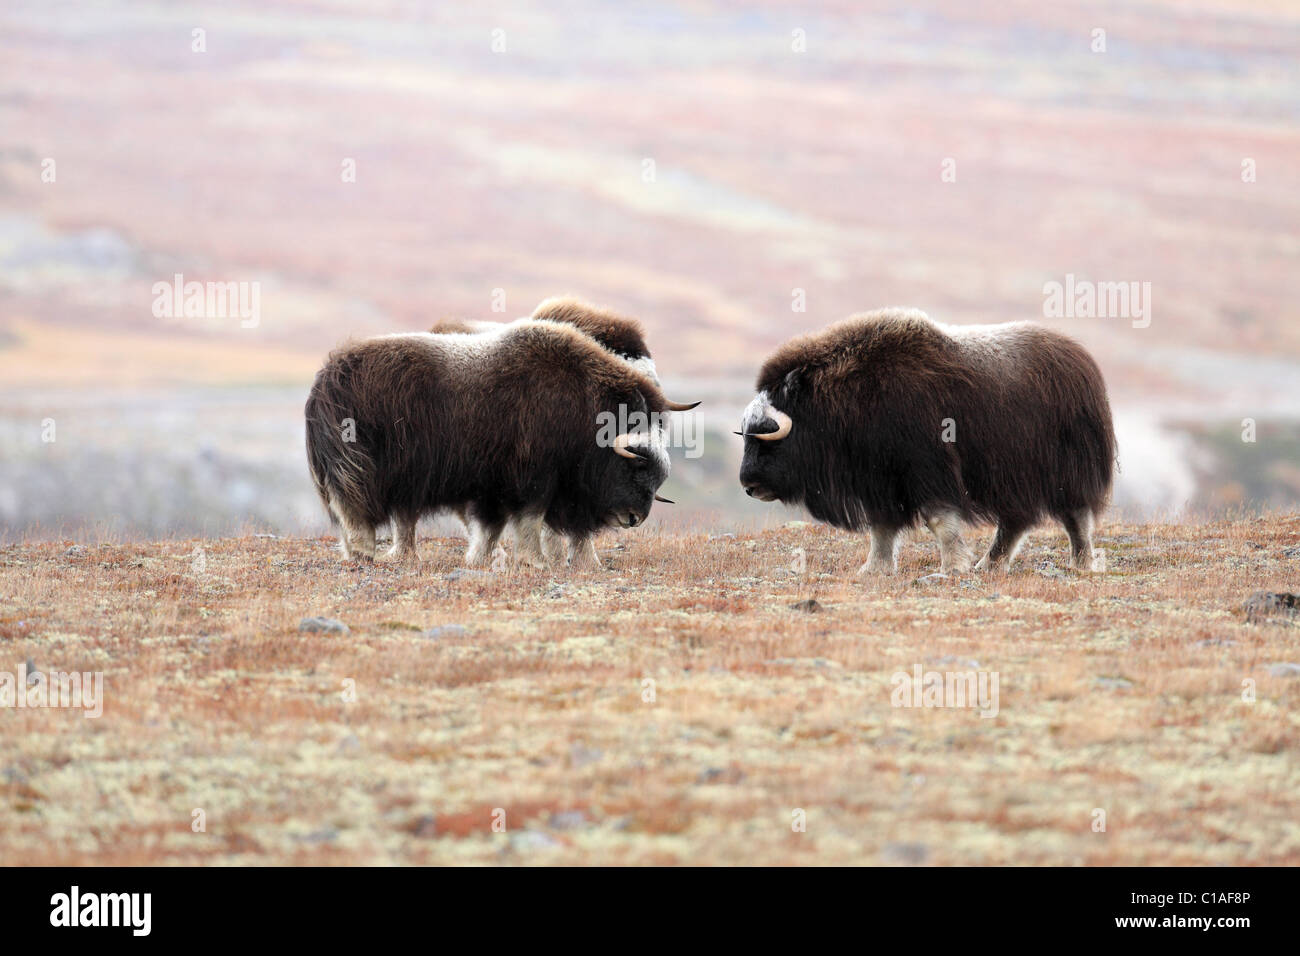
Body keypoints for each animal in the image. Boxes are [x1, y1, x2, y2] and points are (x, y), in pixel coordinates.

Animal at [737, 308, 1116, 575]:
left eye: (766, 437)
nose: (749, 486)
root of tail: (1084, 364)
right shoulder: (878, 479)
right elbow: (881, 527)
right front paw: (873, 569)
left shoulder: (927, 467)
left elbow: (939, 521)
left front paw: (953, 566)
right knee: (1015, 521)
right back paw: (989, 564)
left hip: (1065, 470)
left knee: (1075, 516)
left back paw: (1081, 563)